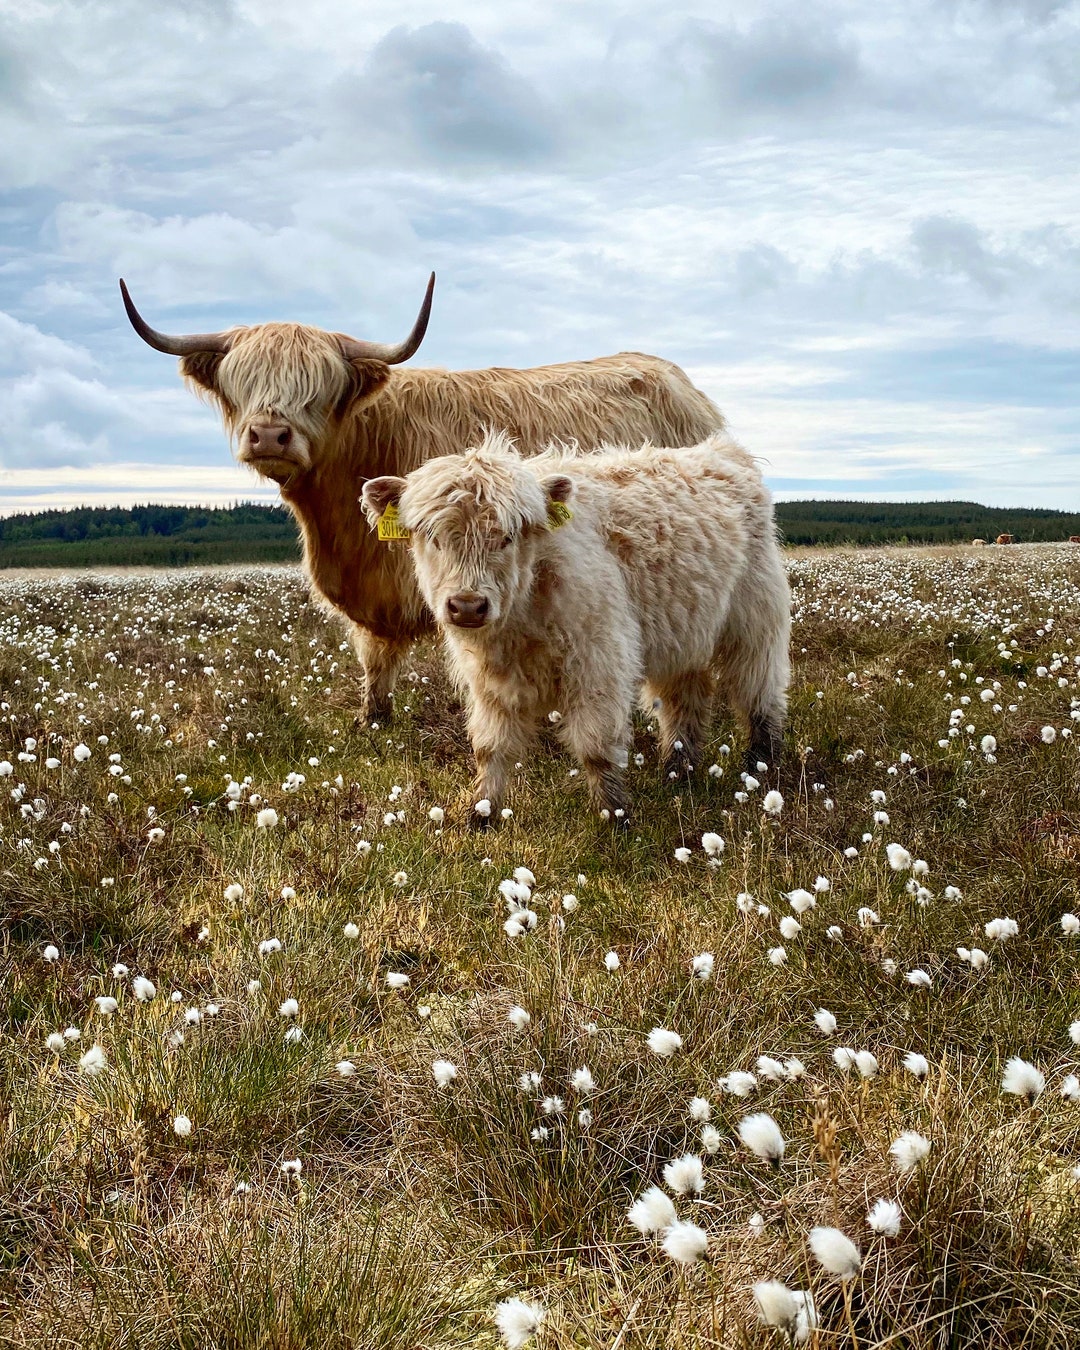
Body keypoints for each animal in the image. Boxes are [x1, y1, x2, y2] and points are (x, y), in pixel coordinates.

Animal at [120, 277, 723, 720]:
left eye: (318, 389)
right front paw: (373, 719)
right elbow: (375, 662)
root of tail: (678, 381)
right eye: (242, 381)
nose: (270, 435)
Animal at [360, 431, 790, 824]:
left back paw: (760, 765)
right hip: (684, 634)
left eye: (507, 536)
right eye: (432, 536)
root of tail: (724, 450)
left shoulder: (599, 662)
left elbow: (596, 747)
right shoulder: (487, 682)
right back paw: (677, 772)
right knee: (684, 701)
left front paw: (615, 818)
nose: (467, 606)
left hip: (755, 621)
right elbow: (490, 747)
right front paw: (482, 813)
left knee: (758, 691)